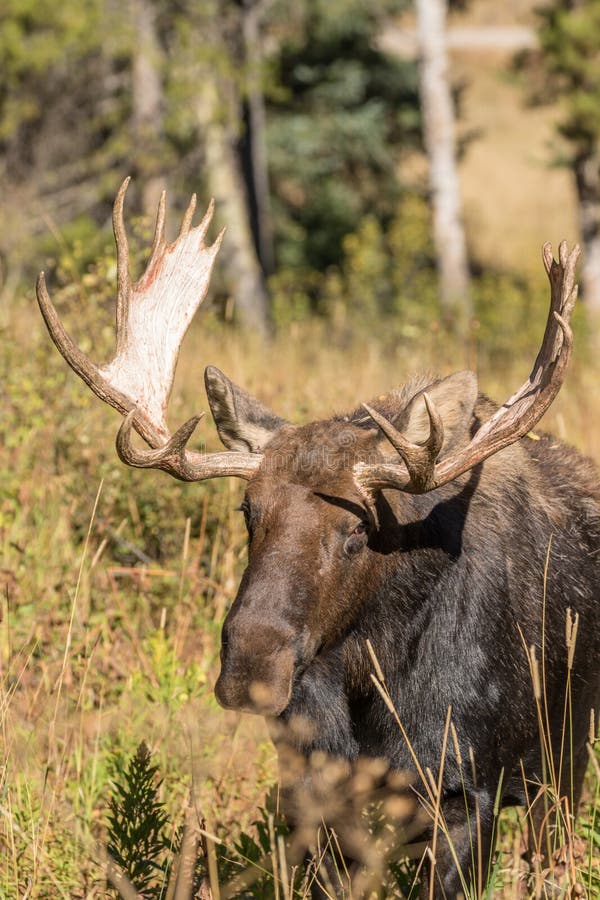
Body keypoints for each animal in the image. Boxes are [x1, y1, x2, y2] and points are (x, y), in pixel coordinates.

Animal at [37, 179, 600, 898]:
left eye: (361, 527)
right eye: (249, 510)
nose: (252, 664)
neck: (372, 685)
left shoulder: (469, 791)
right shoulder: (314, 789)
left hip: (563, 762)